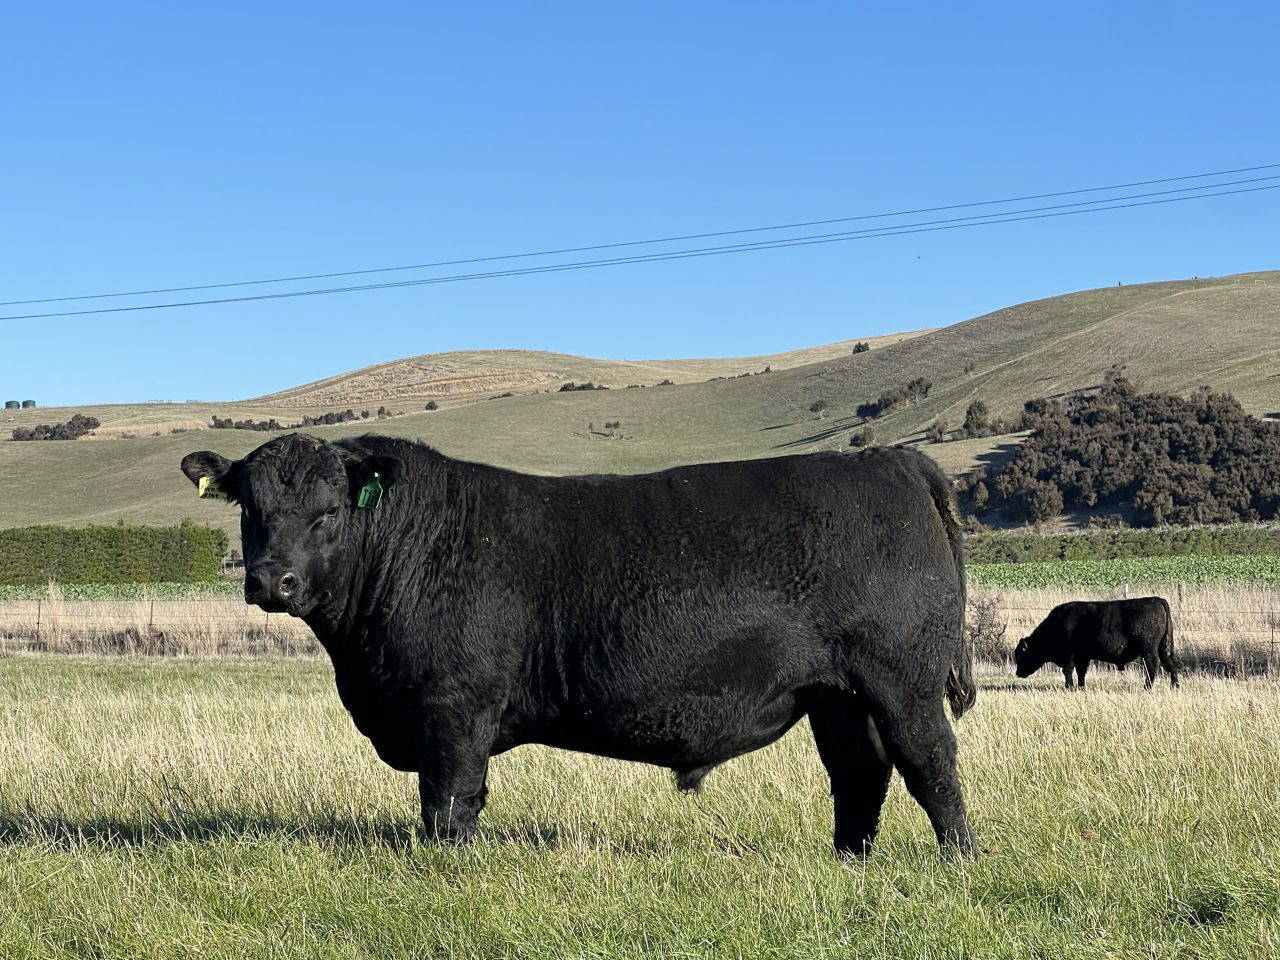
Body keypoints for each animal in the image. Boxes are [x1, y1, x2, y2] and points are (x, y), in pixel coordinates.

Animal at [180, 434, 977, 858]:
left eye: (327, 512)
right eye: (250, 508)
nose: (271, 579)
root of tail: (890, 461)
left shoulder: (452, 706)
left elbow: (448, 801)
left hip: (901, 681)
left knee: (930, 762)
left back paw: (956, 862)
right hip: (836, 694)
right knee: (859, 771)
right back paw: (849, 860)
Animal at [1013, 597, 1180, 690]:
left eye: (1021, 655)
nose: (1018, 673)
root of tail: (1156, 599)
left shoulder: (1070, 655)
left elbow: (1068, 671)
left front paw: (1069, 687)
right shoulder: (1082, 657)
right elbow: (1081, 672)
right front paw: (1080, 687)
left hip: (1148, 650)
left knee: (1153, 666)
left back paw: (1147, 687)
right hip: (1162, 648)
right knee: (1170, 665)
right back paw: (1175, 687)